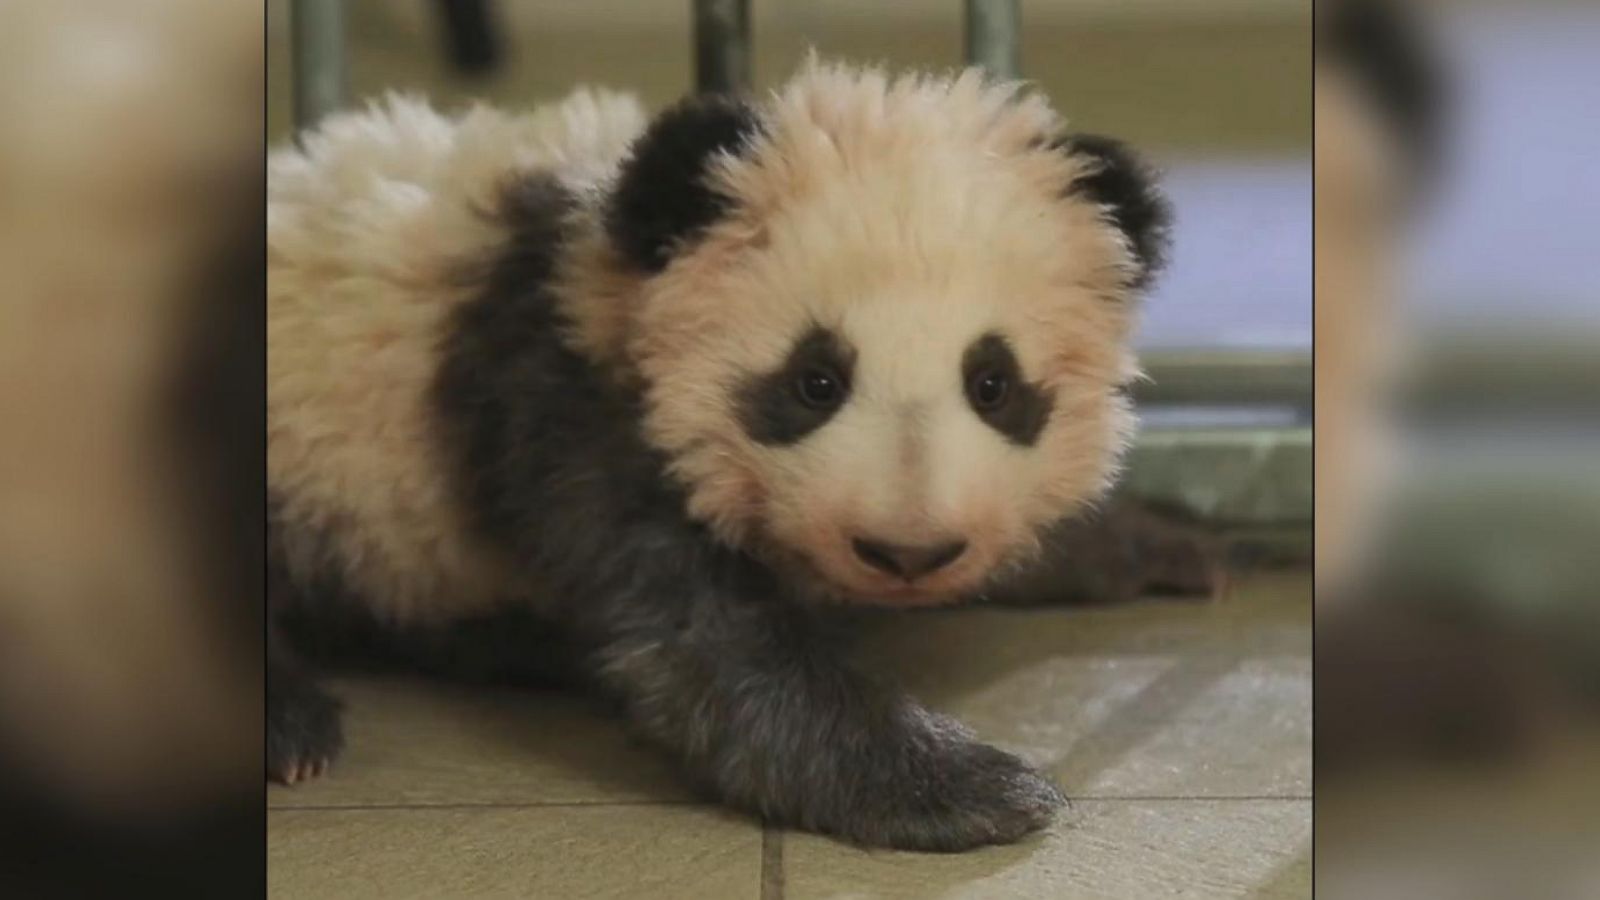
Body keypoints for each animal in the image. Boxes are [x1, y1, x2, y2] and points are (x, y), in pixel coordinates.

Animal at [267, 59, 1170, 851]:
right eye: (814, 380)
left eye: (993, 385)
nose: (907, 552)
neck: (611, 272)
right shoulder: (561, 402)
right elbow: (715, 647)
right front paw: (973, 786)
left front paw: (1150, 545)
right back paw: (298, 728)